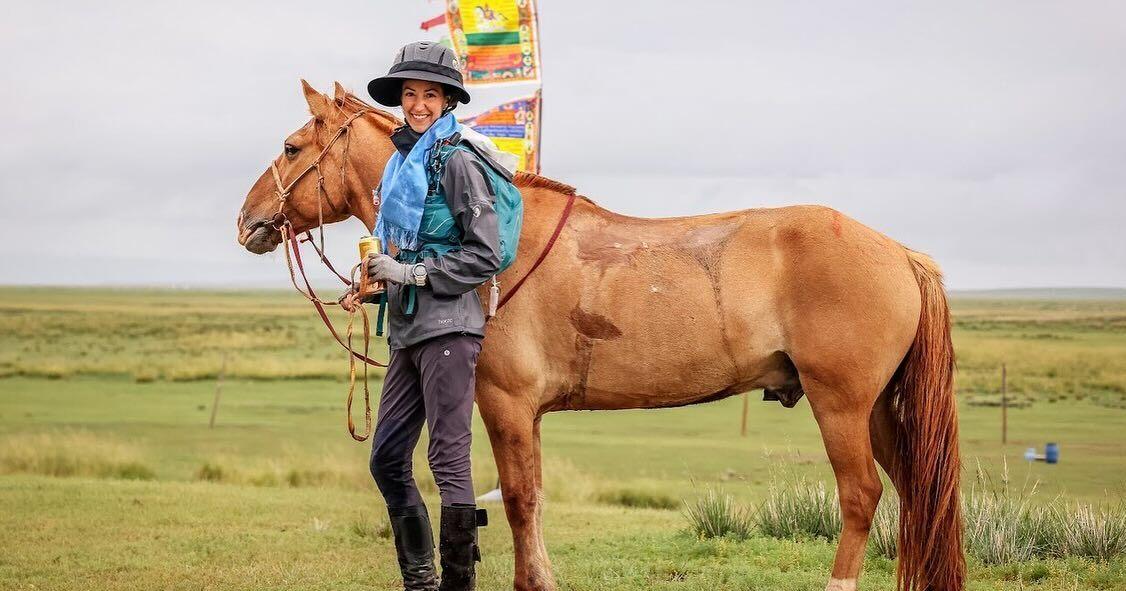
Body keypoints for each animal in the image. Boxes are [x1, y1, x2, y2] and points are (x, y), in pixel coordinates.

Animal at [236, 81, 964, 591]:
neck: (501, 244)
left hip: (842, 405)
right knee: (913, 491)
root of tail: (902, 254)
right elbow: (526, 500)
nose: (246, 219)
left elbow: (519, 501)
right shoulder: (521, 412)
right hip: (882, 410)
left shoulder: (504, 403)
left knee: (861, 496)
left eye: (293, 147)